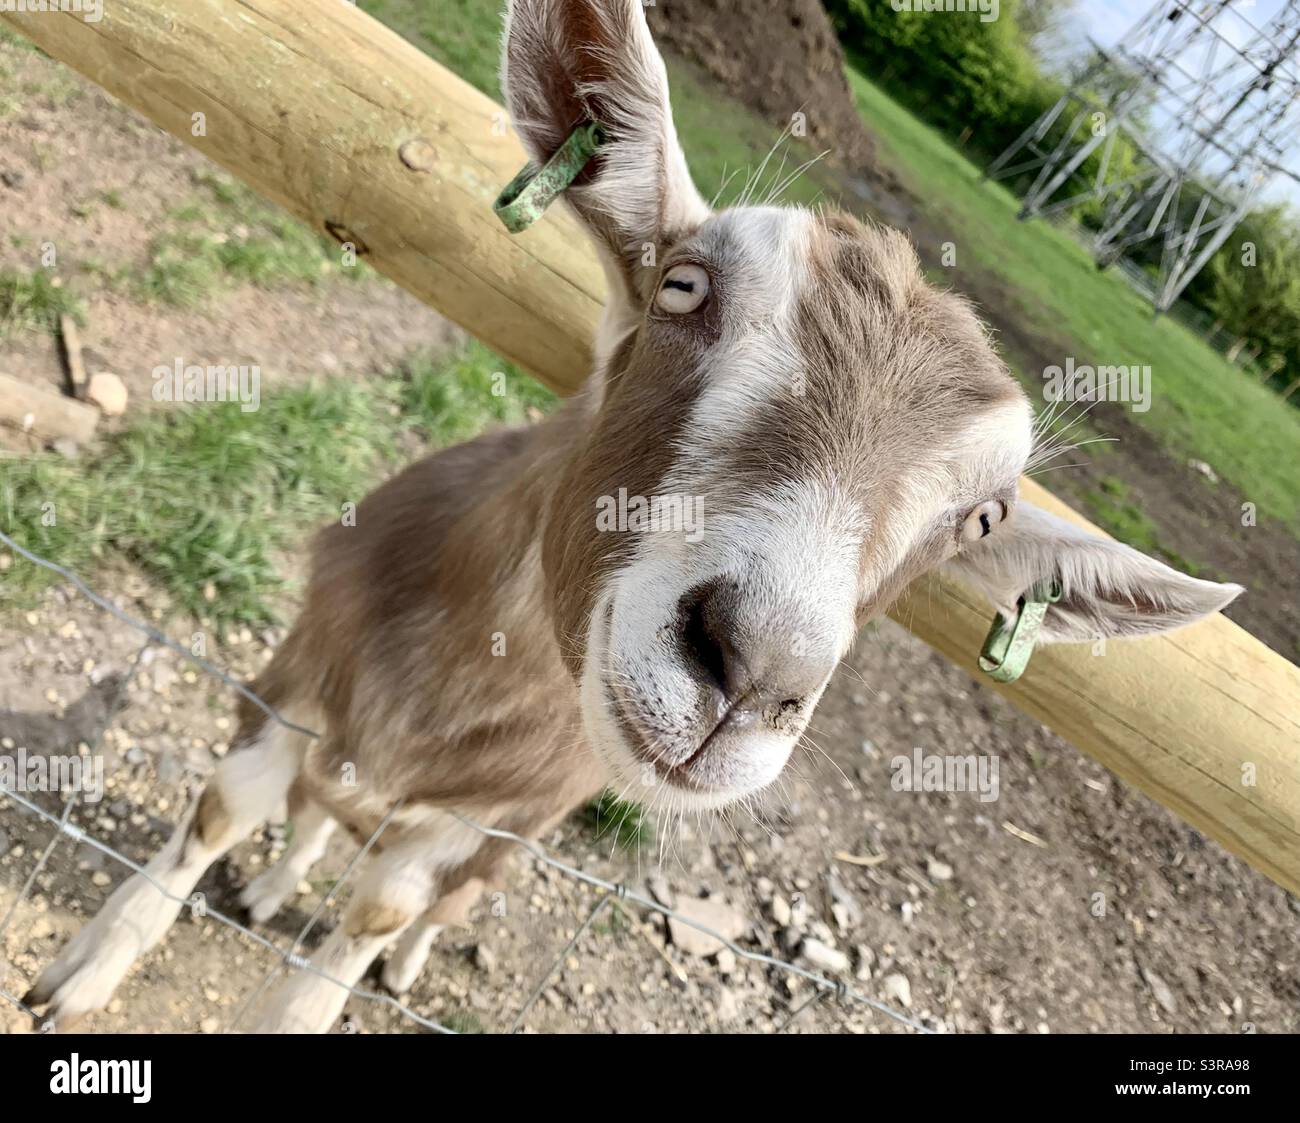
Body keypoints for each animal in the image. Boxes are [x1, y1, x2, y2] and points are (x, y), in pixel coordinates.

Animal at [26, 0, 1241, 1033]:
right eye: (683, 286)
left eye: (981, 519)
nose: (751, 674)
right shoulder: (305, 662)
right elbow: (224, 805)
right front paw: (79, 973)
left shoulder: (488, 813)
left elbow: (375, 915)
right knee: (321, 812)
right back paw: (278, 880)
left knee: (433, 902)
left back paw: (398, 956)